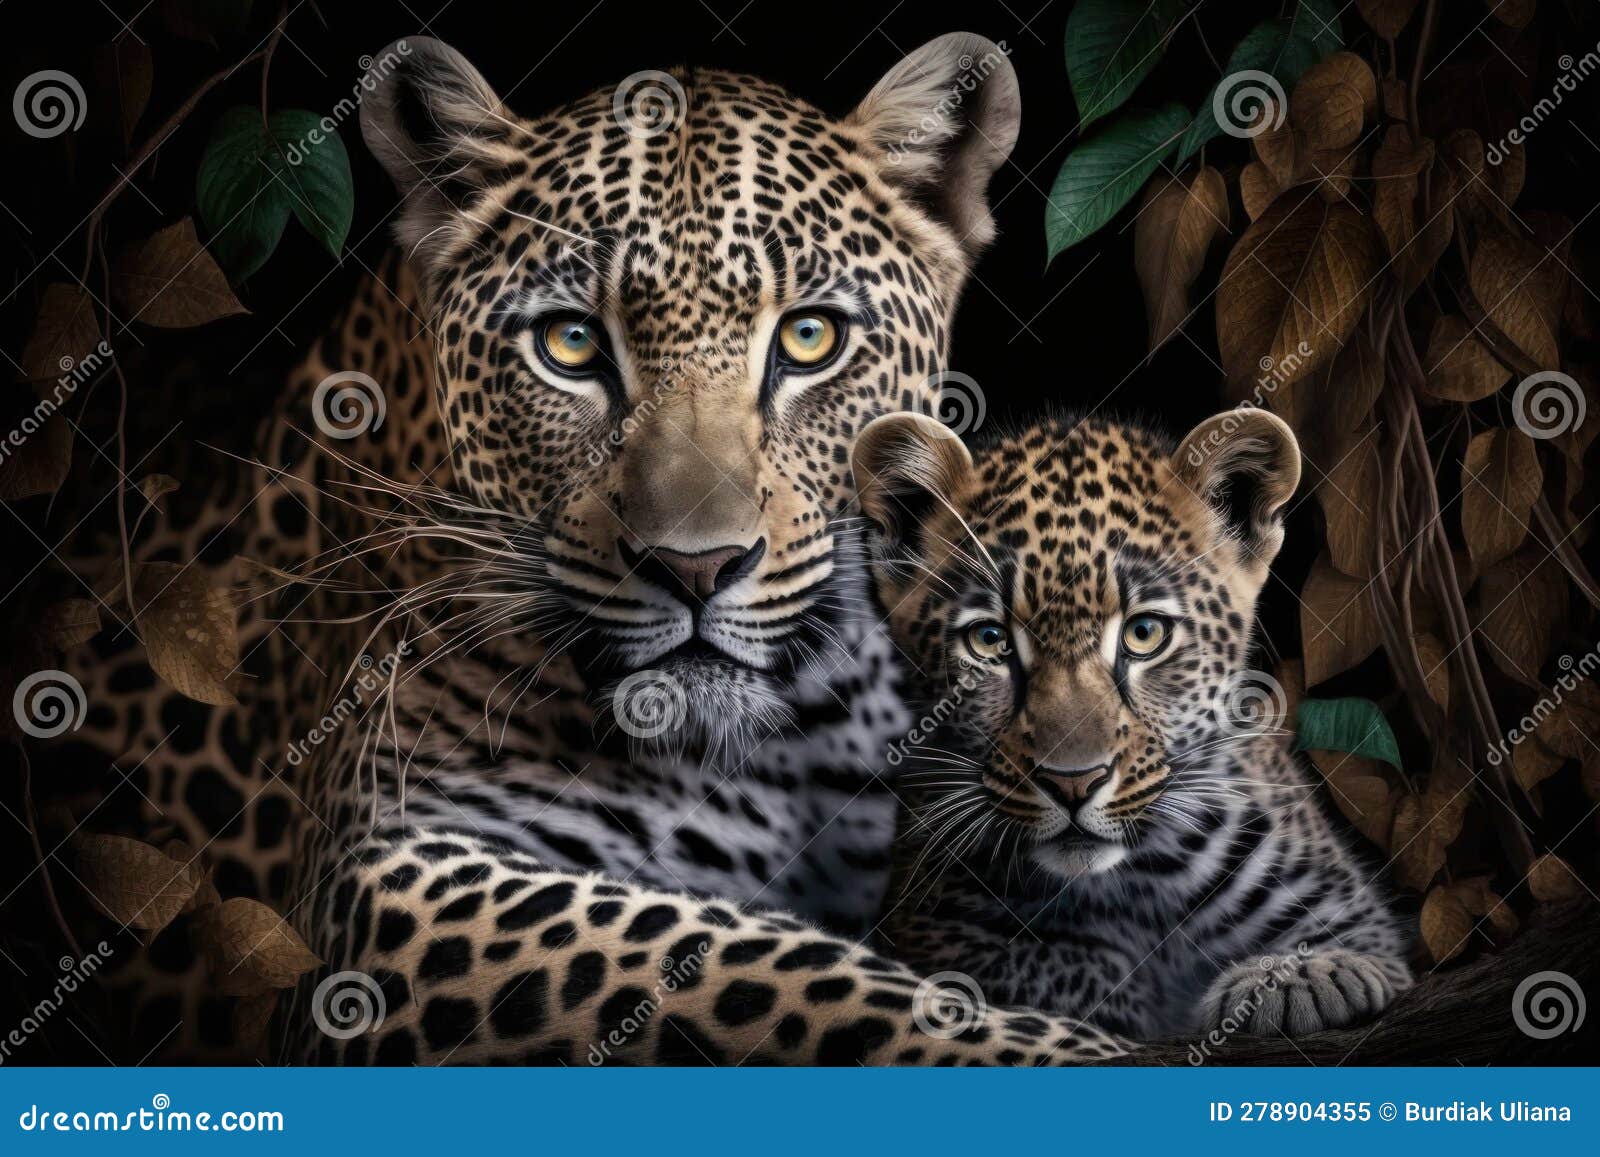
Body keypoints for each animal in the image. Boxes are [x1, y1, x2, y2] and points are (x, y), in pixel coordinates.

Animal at [849, 407, 1412, 1044]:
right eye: (990, 641)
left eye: (1145, 634)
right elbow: (1026, 975)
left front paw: (1296, 983)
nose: (1072, 783)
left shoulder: (1346, 909)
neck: (1136, 886)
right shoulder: (932, 921)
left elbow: (1347, 949)